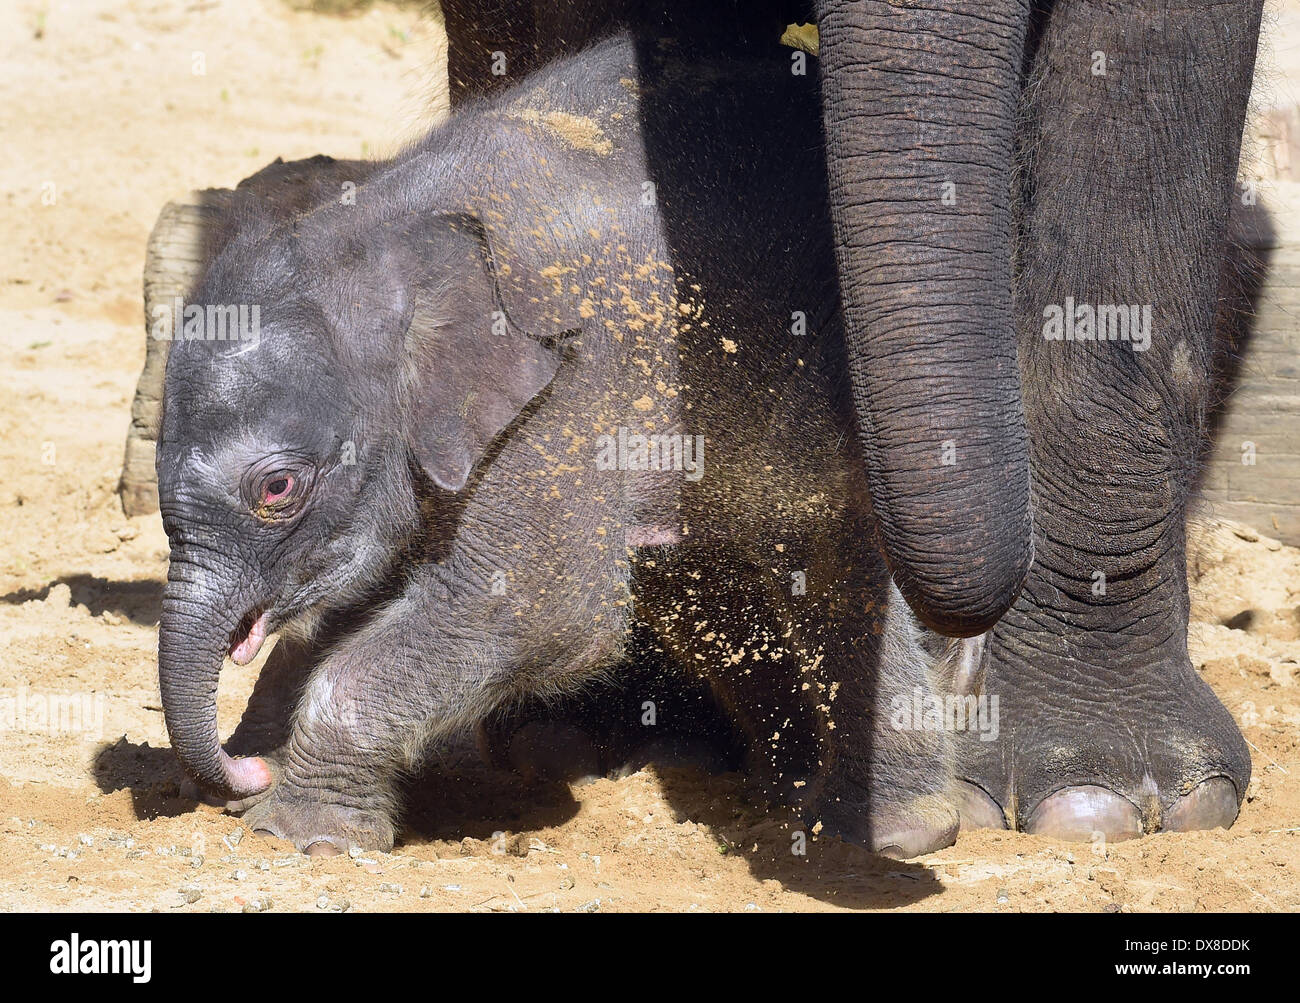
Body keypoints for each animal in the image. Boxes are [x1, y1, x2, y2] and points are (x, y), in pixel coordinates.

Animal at [156, 34, 970, 856]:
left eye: (277, 488)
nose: (240, 769)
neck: (386, 233)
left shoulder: (570, 385)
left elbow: (538, 607)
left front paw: (296, 832)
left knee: (826, 540)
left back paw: (884, 835)